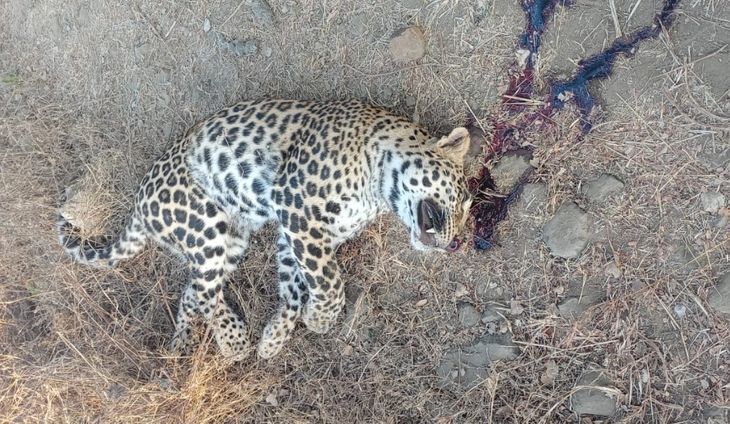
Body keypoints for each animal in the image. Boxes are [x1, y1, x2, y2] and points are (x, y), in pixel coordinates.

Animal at [58, 99, 473, 360]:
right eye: (464, 200)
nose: (455, 244)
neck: (379, 187)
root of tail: (140, 205)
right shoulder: (298, 207)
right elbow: (329, 280)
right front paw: (321, 318)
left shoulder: (296, 233)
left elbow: (295, 287)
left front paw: (275, 337)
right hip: (204, 225)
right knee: (205, 292)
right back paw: (233, 341)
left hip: (231, 239)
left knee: (193, 291)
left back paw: (185, 341)